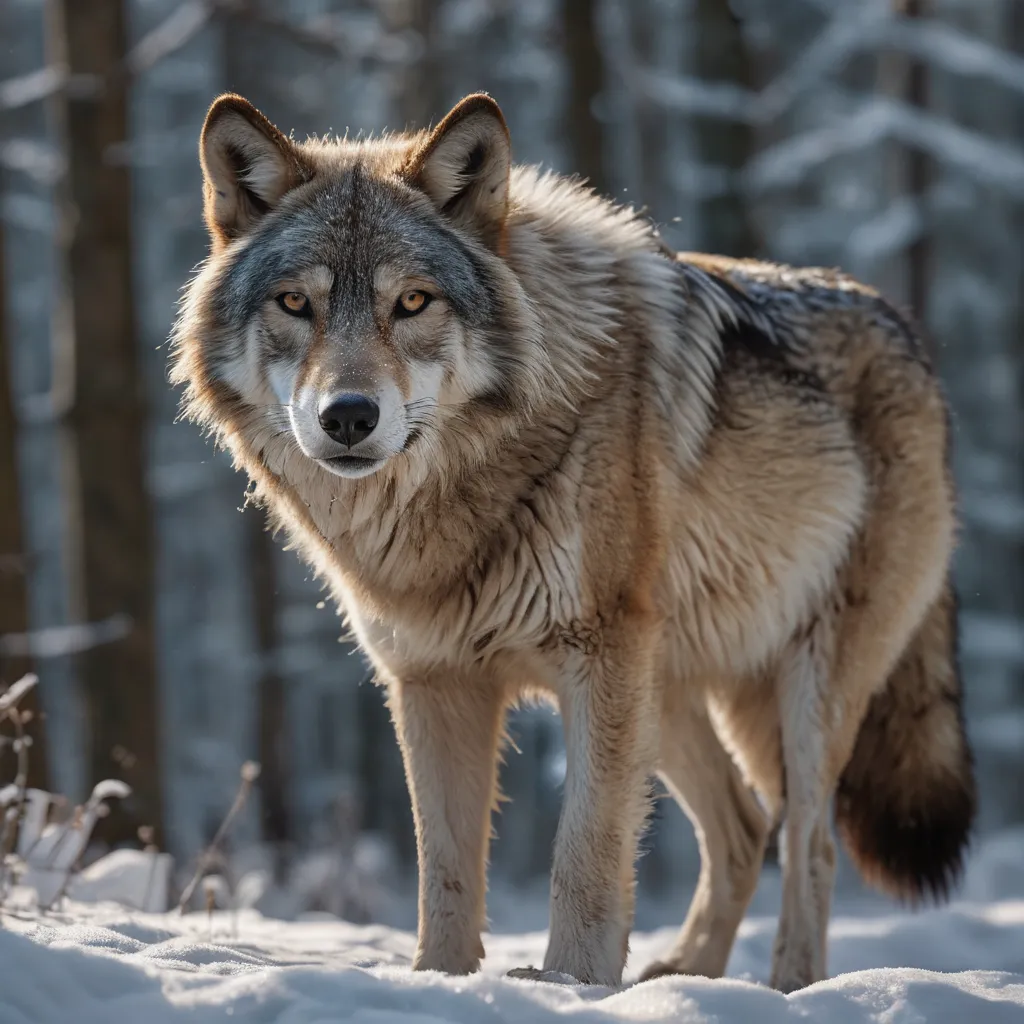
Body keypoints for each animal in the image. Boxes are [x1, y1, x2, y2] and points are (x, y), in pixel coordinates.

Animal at [171, 91, 976, 992]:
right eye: (294, 304)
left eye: (412, 303)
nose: (348, 416)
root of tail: (906, 333)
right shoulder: (431, 680)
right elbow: (445, 875)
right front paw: (444, 982)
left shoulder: (600, 655)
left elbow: (586, 852)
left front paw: (572, 986)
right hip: (677, 692)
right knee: (741, 828)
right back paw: (682, 976)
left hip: (801, 693)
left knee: (809, 839)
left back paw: (788, 987)